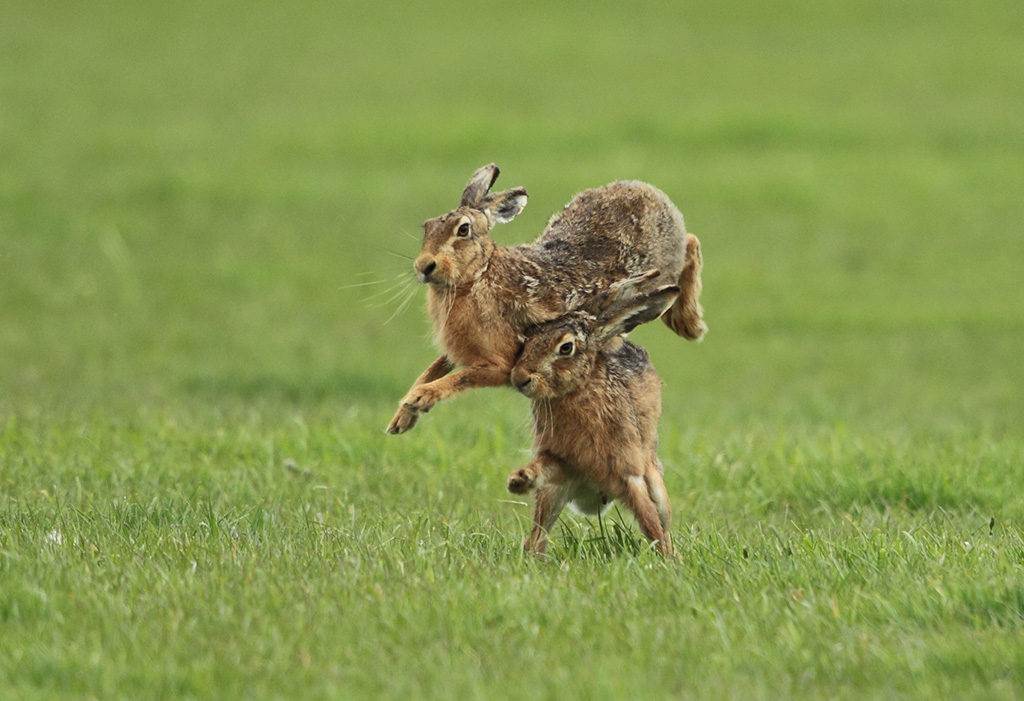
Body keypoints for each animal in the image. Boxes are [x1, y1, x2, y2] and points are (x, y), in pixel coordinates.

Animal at [386, 163, 705, 435]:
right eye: (427, 227)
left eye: (463, 230)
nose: (424, 266)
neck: (480, 274)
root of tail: (647, 190)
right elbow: (433, 369)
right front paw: (401, 417)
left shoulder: (500, 364)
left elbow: (458, 378)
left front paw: (419, 398)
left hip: (664, 270)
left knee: (691, 243)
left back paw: (690, 324)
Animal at [506, 273, 679, 557]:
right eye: (527, 339)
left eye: (566, 348)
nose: (519, 378)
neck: (578, 390)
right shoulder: (564, 461)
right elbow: (543, 466)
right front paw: (520, 479)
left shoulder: (630, 473)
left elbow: (651, 524)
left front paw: (667, 561)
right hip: (553, 495)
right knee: (538, 535)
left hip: (654, 479)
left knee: (662, 520)